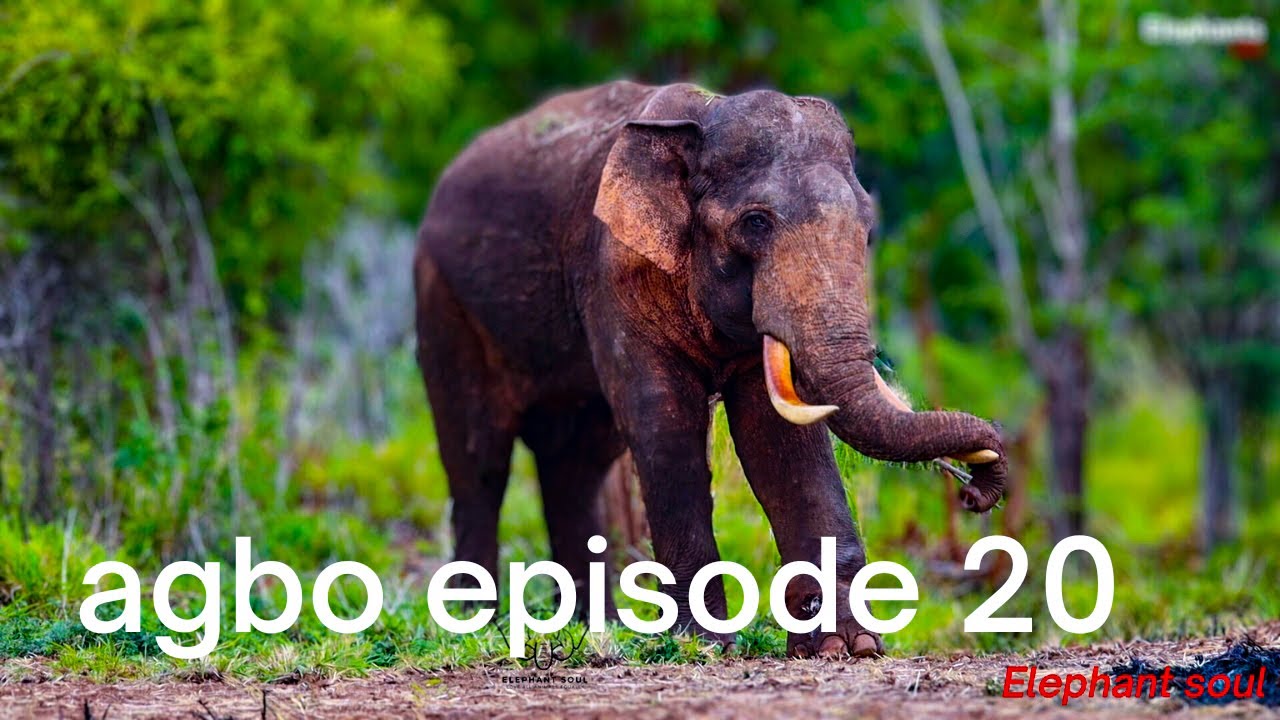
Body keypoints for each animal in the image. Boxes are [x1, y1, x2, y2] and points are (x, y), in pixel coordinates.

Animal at [413, 81, 1007, 658]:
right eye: (756, 222)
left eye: (869, 231)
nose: (974, 489)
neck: (703, 116)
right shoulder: (613, 272)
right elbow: (664, 424)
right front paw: (703, 645)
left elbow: (780, 443)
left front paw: (849, 646)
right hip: (445, 305)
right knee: (480, 459)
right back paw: (475, 624)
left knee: (574, 464)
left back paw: (593, 629)